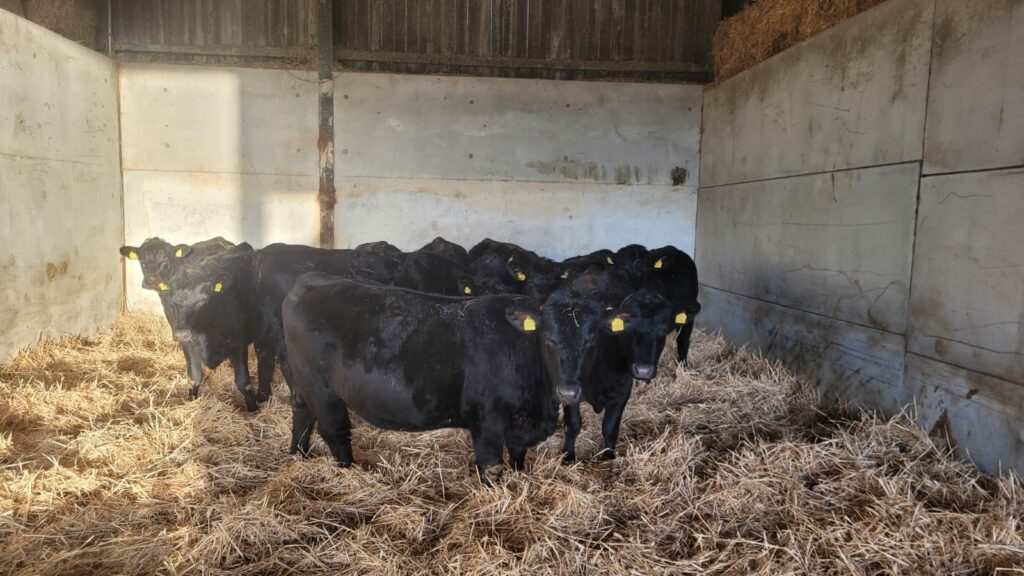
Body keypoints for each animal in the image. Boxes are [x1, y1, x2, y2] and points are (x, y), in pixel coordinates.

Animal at [282, 274, 610, 481]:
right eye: (549, 339)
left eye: (592, 339)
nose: (568, 392)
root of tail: (312, 279)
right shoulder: (487, 422)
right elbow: (491, 467)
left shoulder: (519, 426)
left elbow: (518, 458)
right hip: (321, 387)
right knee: (334, 431)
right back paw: (349, 474)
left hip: (303, 383)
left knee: (302, 415)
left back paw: (298, 457)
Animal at [560, 267, 683, 463]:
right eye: (629, 328)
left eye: (663, 330)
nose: (643, 370)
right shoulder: (569, 389)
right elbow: (572, 425)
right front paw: (568, 458)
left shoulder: (623, 389)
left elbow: (610, 427)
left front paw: (609, 456)